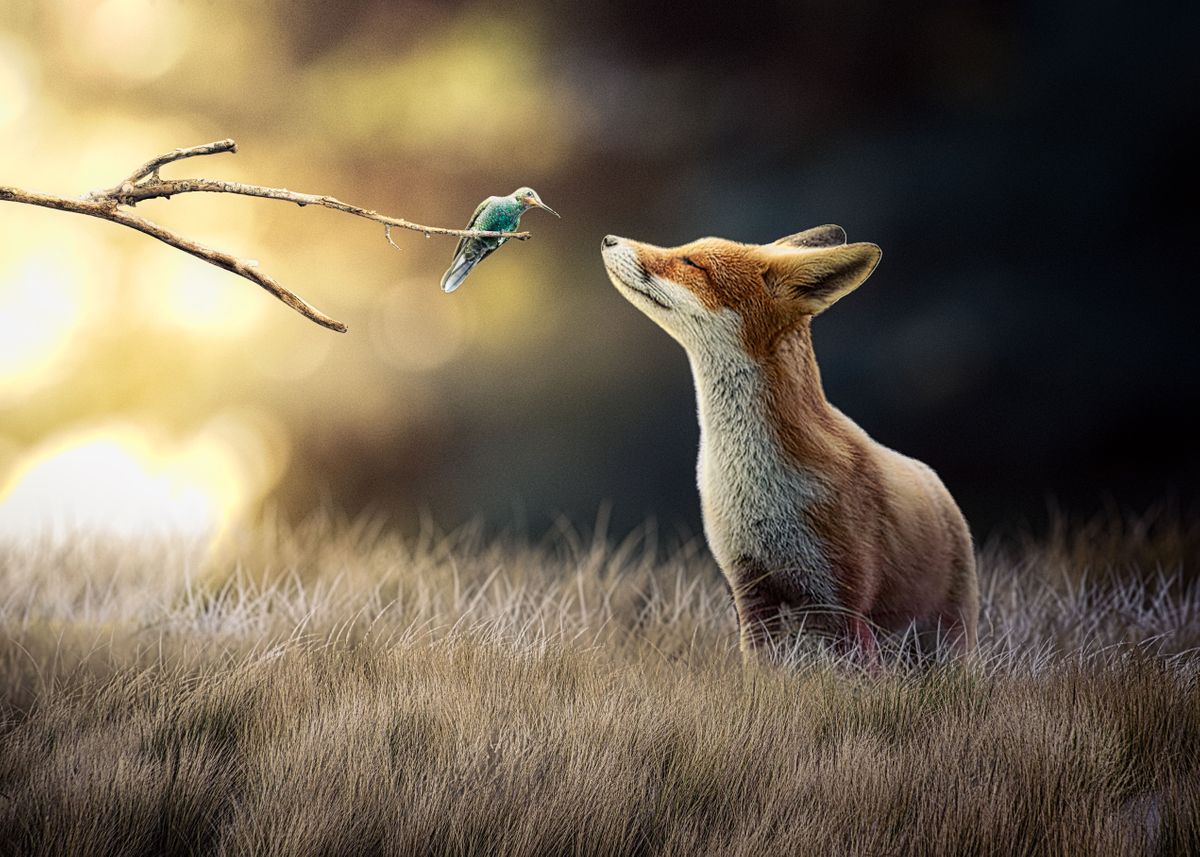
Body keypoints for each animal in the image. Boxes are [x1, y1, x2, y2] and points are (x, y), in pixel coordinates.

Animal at [601, 225, 978, 660]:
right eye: (687, 251)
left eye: (692, 263)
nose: (609, 239)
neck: (757, 489)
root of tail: (935, 480)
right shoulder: (750, 589)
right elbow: (759, 667)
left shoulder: (843, 602)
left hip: (945, 635)